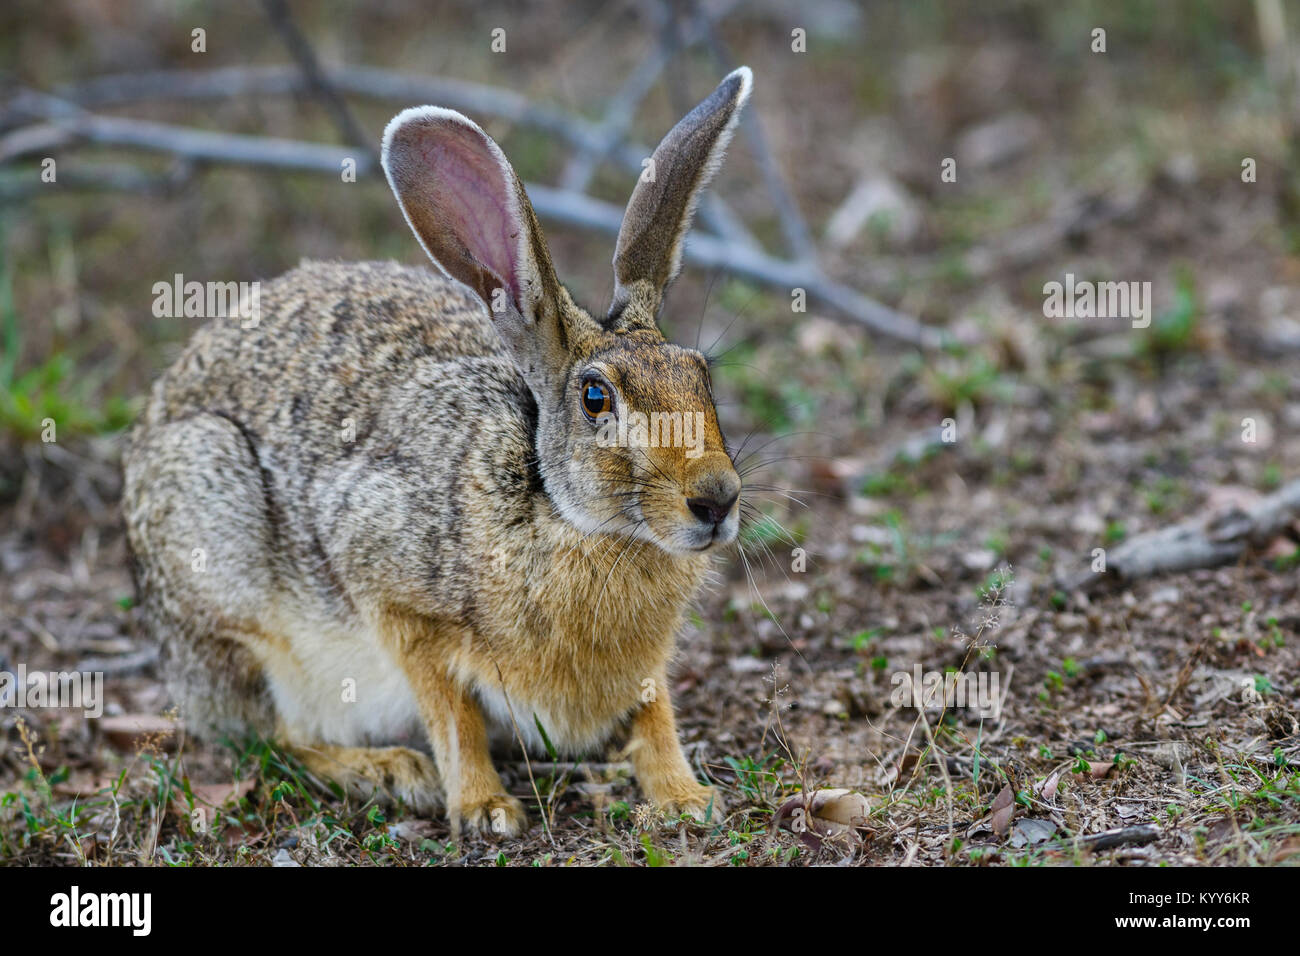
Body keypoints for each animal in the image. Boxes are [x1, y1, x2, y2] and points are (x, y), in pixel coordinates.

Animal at [122, 67, 752, 836]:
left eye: (702, 377)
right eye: (596, 398)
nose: (716, 500)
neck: (558, 511)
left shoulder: (646, 667)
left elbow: (655, 712)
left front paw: (686, 797)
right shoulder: (390, 588)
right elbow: (450, 712)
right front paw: (484, 808)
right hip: (226, 576)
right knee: (277, 735)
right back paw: (391, 771)